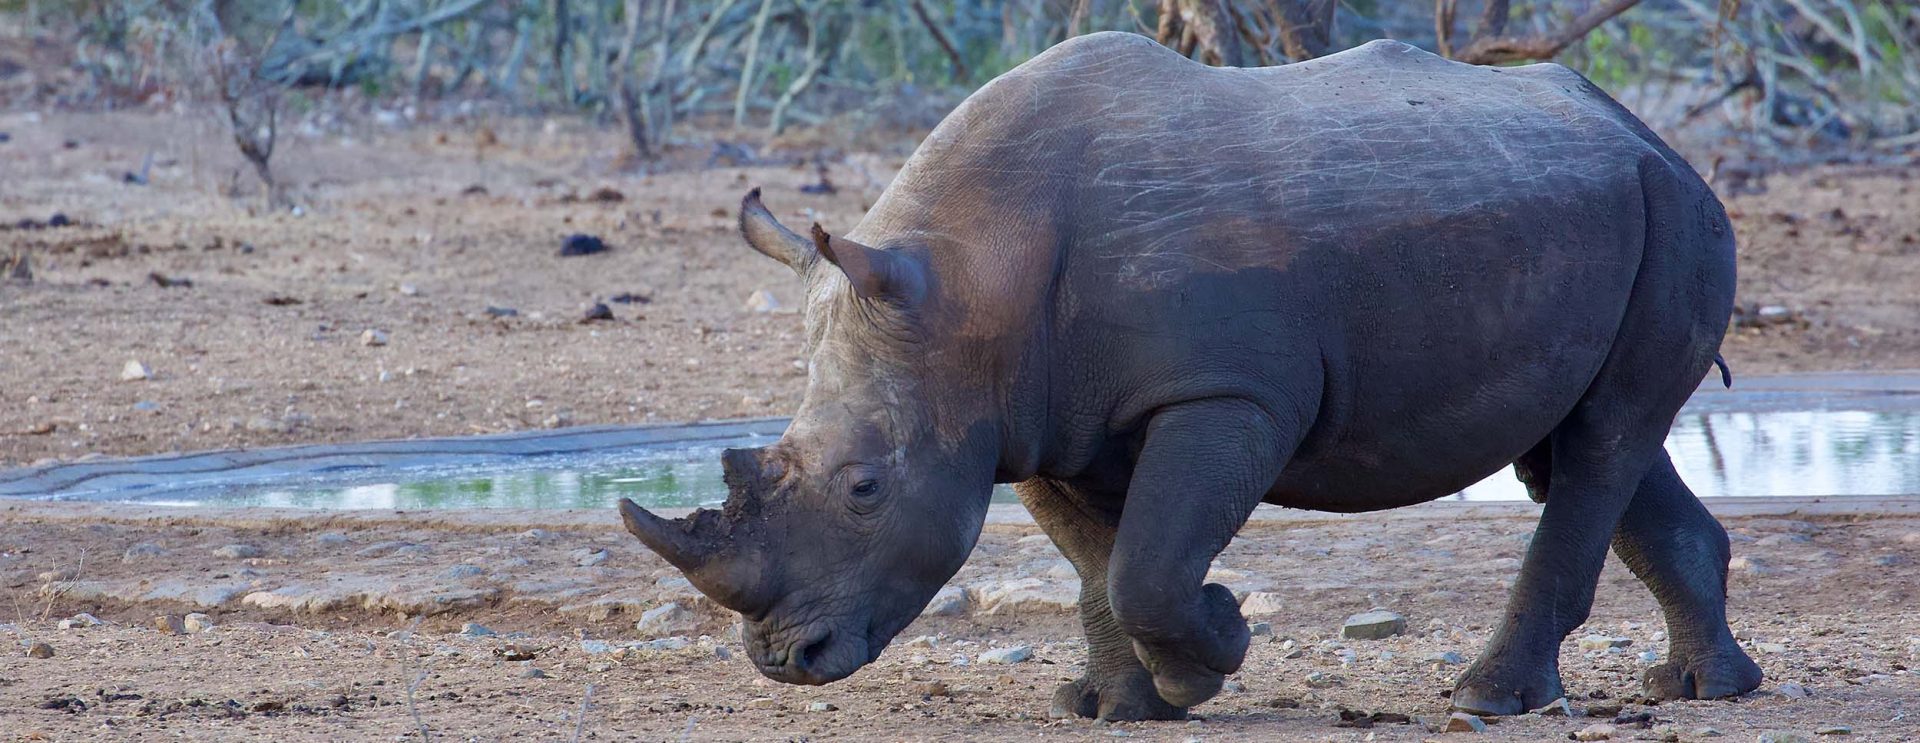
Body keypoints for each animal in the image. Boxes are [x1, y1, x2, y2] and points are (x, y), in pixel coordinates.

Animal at [620, 32, 1761, 720]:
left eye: (864, 488)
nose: (784, 658)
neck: (970, 283)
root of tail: (1647, 130)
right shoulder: (1032, 416)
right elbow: (1101, 562)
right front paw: (1124, 705)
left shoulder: (1229, 392)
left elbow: (1150, 563)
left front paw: (1220, 641)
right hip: (1590, 208)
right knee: (1582, 445)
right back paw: (1704, 687)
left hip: (1675, 211)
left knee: (1603, 438)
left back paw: (1487, 698)